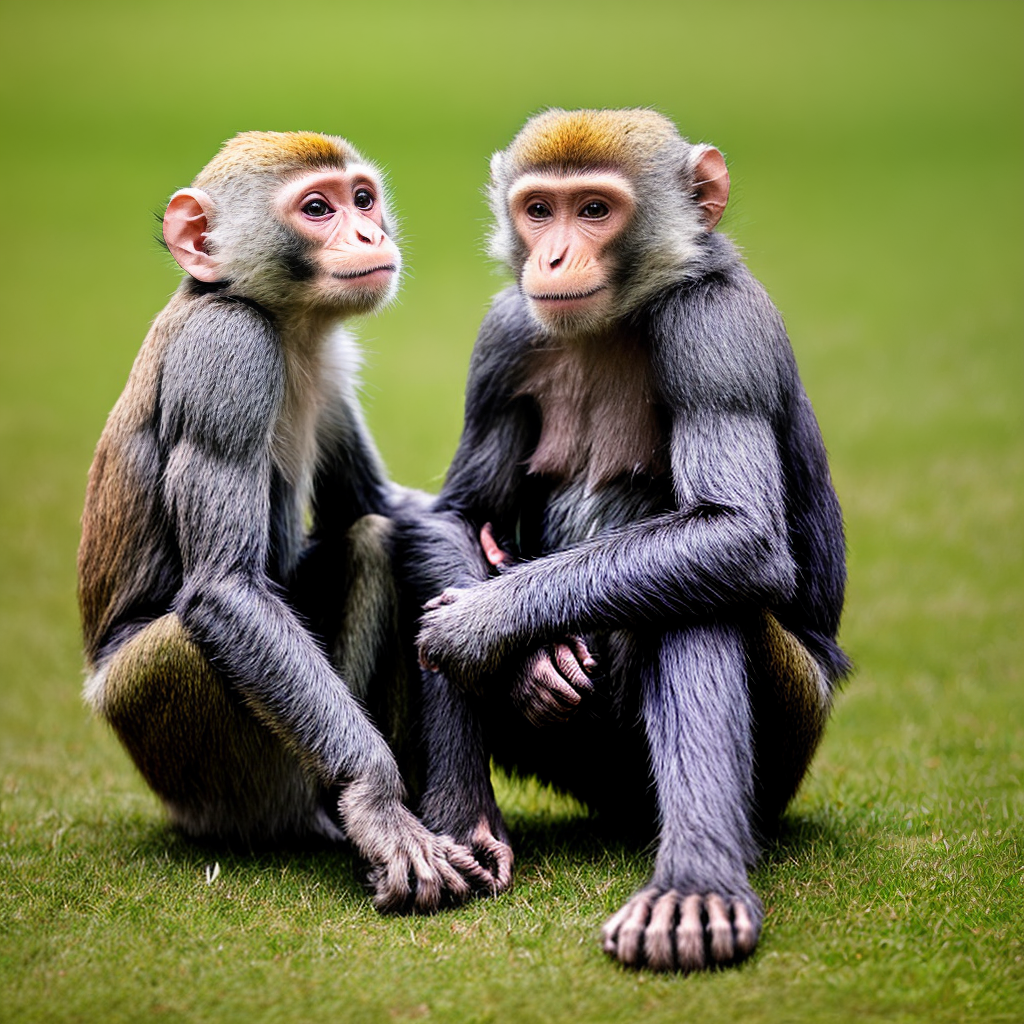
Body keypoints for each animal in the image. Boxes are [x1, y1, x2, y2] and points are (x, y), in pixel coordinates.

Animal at [78, 130, 494, 913]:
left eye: (361, 198)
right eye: (317, 209)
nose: (370, 233)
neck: (282, 319)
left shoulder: (332, 359)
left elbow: (382, 507)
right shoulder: (228, 351)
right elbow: (225, 588)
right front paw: (377, 802)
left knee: (371, 540)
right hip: (170, 737)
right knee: (187, 643)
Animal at [404, 109, 849, 970]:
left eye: (594, 210)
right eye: (538, 210)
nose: (552, 257)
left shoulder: (717, 331)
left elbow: (738, 534)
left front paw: (485, 622)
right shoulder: (504, 335)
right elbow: (456, 515)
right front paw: (527, 660)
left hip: (795, 734)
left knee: (702, 596)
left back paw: (693, 885)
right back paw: (467, 817)